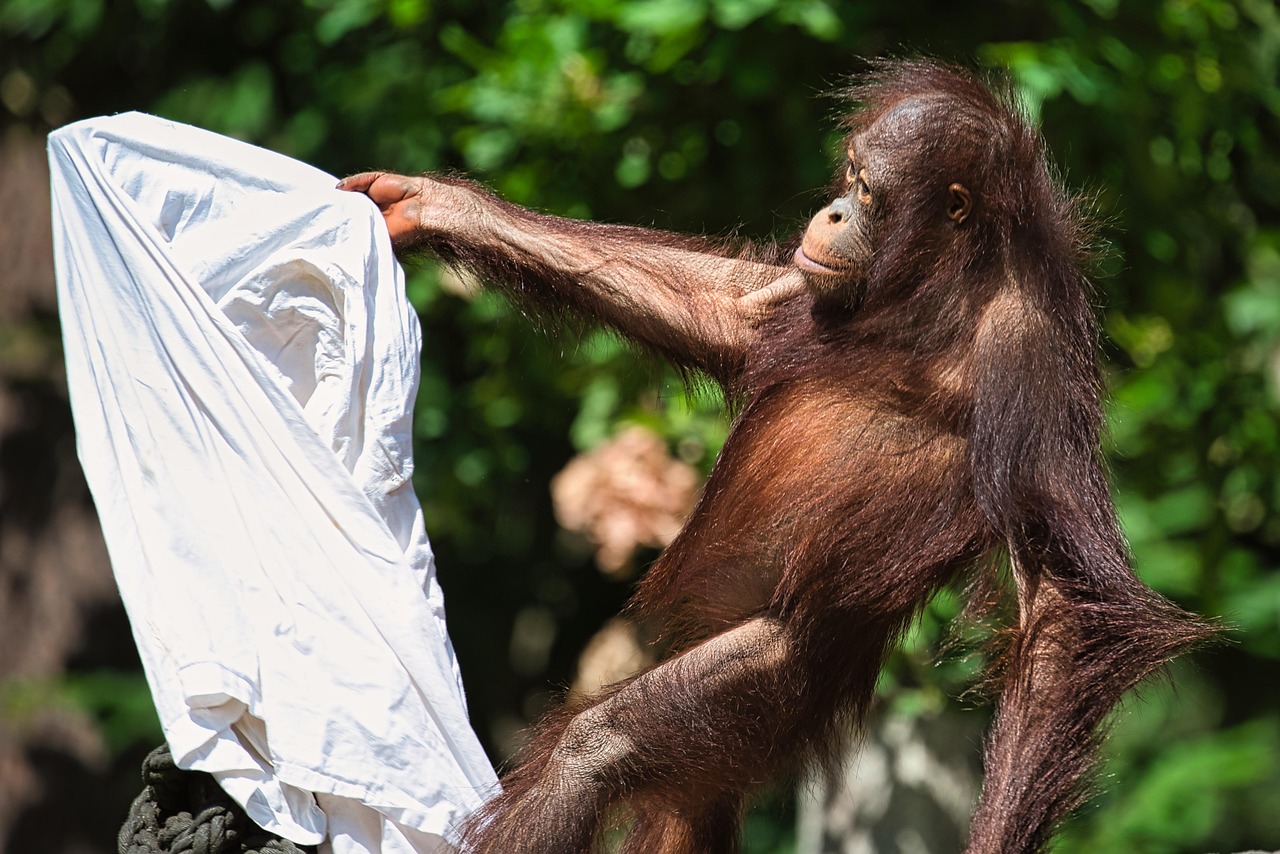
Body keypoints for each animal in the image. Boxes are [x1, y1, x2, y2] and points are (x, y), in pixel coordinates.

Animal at [339, 59, 1214, 854]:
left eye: (869, 192)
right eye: (851, 175)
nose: (831, 211)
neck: (946, 288)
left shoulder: (1029, 356)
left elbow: (1065, 600)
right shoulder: (810, 291)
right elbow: (736, 311)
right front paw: (432, 203)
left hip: (783, 669)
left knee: (599, 750)